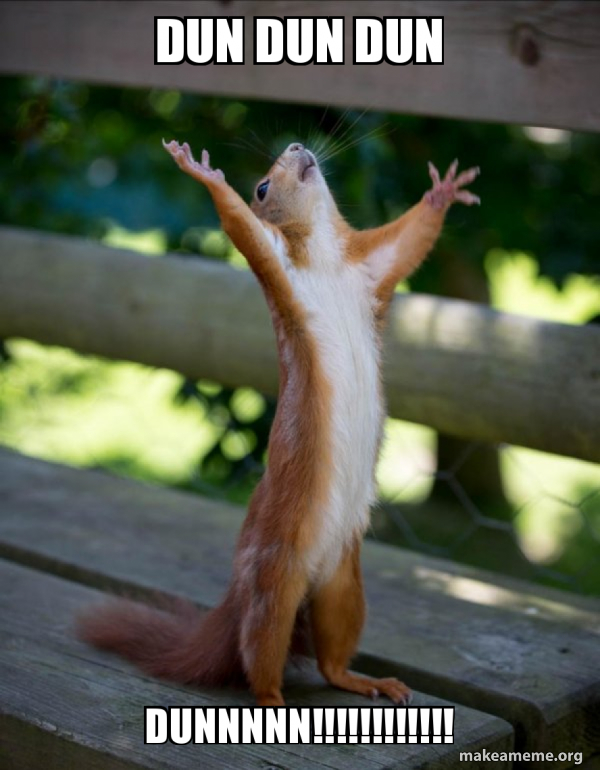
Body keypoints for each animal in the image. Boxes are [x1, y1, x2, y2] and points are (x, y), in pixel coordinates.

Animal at [77, 138, 479, 707]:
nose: (296, 146)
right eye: (262, 187)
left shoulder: (372, 267)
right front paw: (203, 173)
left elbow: (410, 240)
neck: (327, 259)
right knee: (259, 655)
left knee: (332, 659)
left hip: (344, 586)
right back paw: (273, 700)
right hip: (274, 582)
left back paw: (366, 680)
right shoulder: (277, 264)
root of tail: (238, 595)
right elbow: (240, 225)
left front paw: (442, 192)